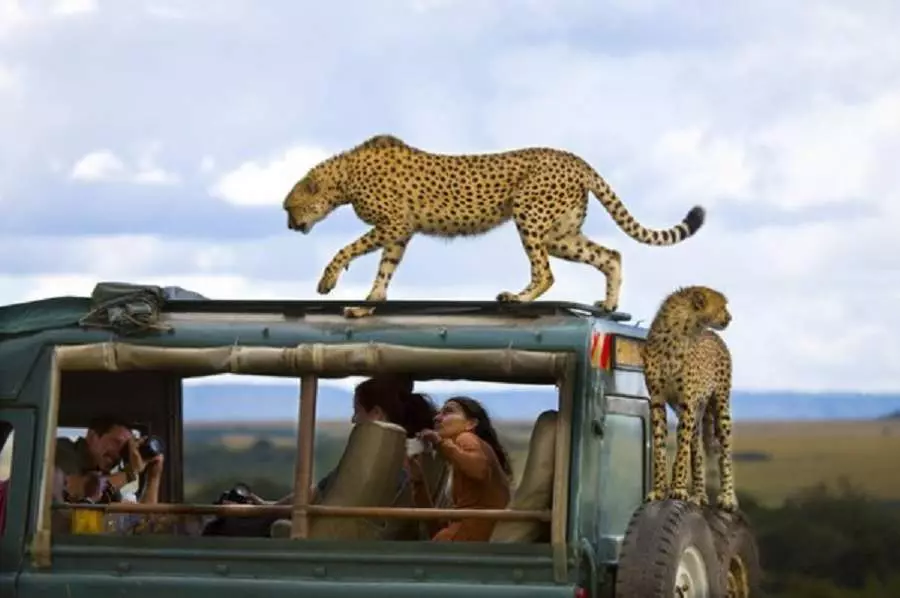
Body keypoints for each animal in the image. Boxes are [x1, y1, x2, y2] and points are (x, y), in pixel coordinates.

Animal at [282, 132, 704, 318]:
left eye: (289, 207)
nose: (288, 225)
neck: (344, 177)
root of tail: (572, 156)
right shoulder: (400, 233)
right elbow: (385, 269)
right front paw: (368, 304)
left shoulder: (394, 224)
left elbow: (347, 249)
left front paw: (328, 281)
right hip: (561, 234)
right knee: (610, 254)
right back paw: (609, 303)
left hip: (529, 216)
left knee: (546, 272)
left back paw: (518, 298)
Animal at [640, 288, 740, 512]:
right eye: (722, 306)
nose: (729, 317)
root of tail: (714, 335)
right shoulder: (658, 401)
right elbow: (660, 449)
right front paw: (659, 490)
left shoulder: (687, 403)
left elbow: (682, 452)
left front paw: (677, 488)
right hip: (696, 412)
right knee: (698, 452)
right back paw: (699, 495)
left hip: (720, 405)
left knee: (725, 453)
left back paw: (727, 497)